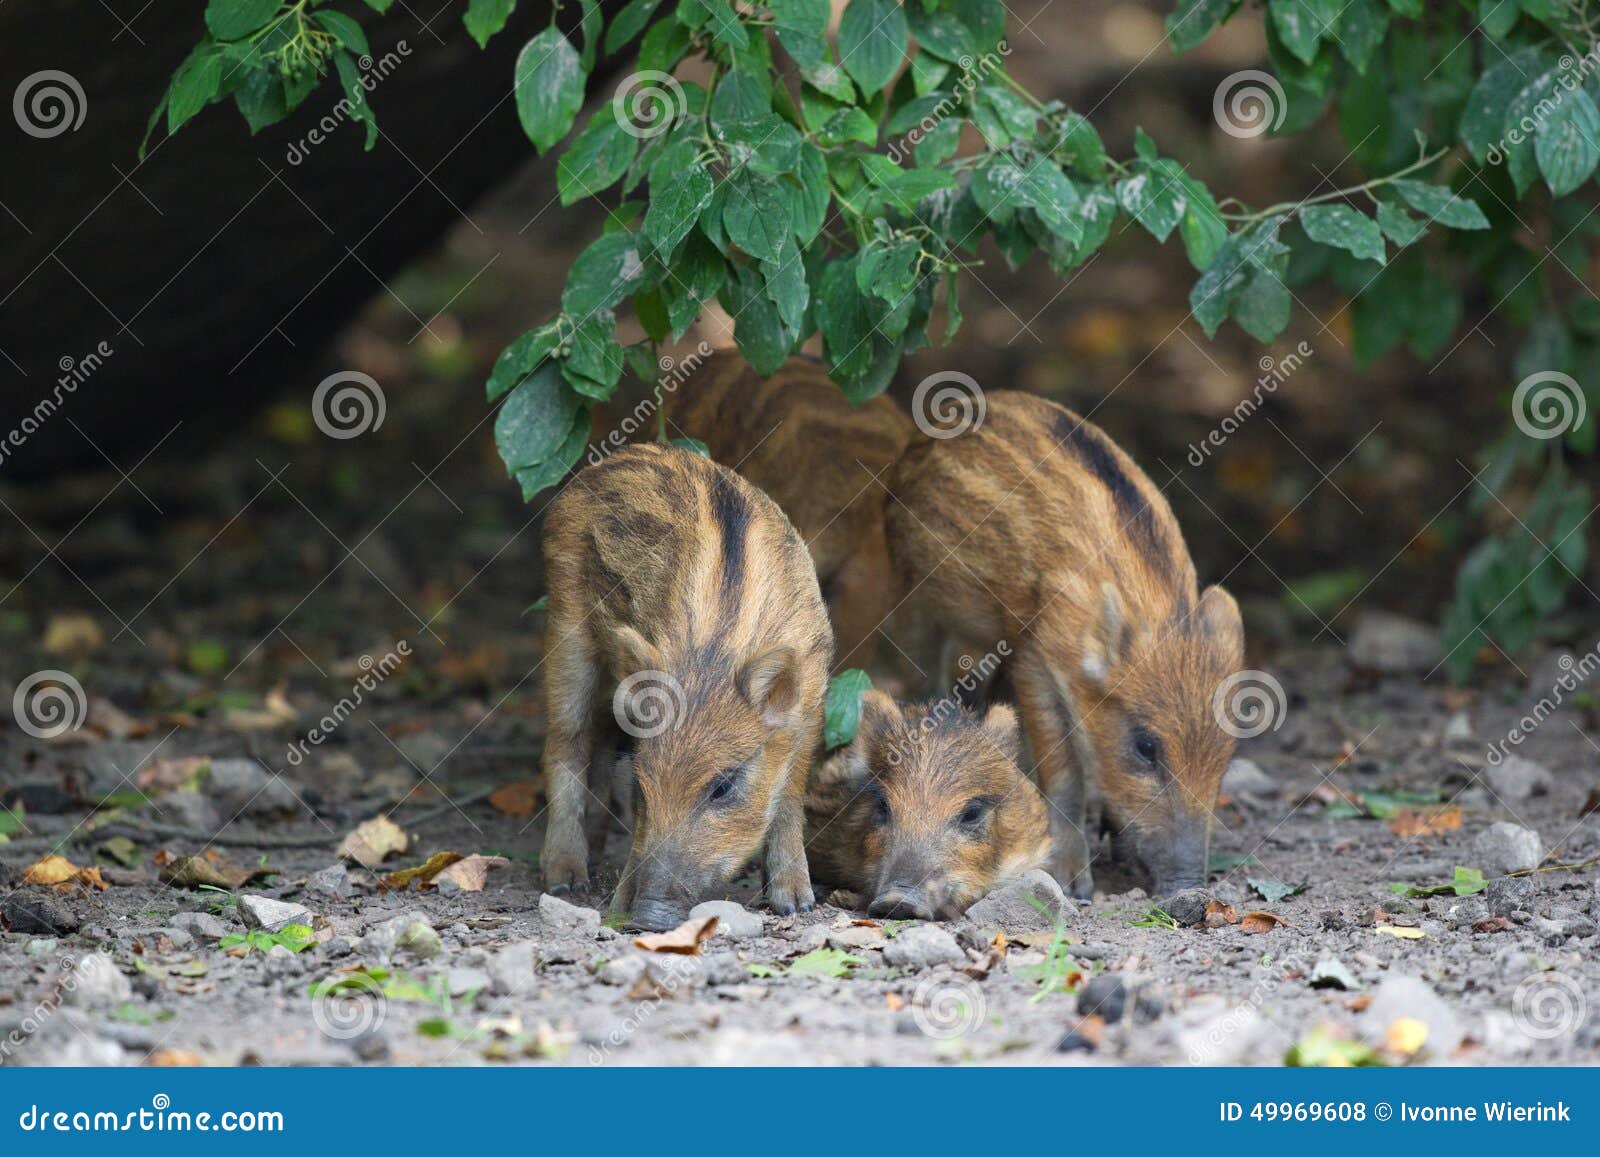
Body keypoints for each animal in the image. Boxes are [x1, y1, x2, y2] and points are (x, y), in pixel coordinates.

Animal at [539, 442, 833, 931]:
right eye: (643, 786)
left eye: (723, 787)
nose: (648, 917)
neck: (715, 651)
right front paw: (616, 906)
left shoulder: (811, 701)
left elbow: (791, 792)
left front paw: (795, 903)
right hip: (566, 627)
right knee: (566, 741)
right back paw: (565, 880)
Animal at [885, 391, 1244, 899]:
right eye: (1146, 747)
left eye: (1227, 756)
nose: (1188, 887)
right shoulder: (1036, 657)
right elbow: (1067, 773)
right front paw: (1074, 884)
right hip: (911, 589)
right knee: (922, 671)